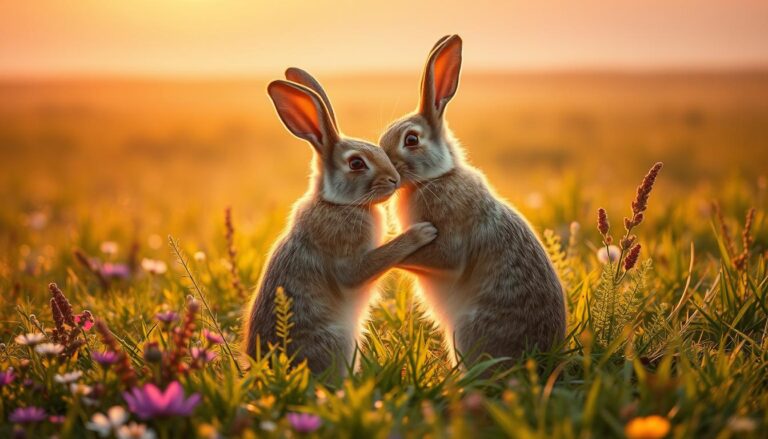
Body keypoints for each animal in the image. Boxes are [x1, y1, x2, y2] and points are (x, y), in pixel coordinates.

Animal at [244, 68, 438, 376]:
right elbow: (369, 263)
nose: (394, 180)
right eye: (356, 164)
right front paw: (421, 233)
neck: (337, 203)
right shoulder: (349, 263)